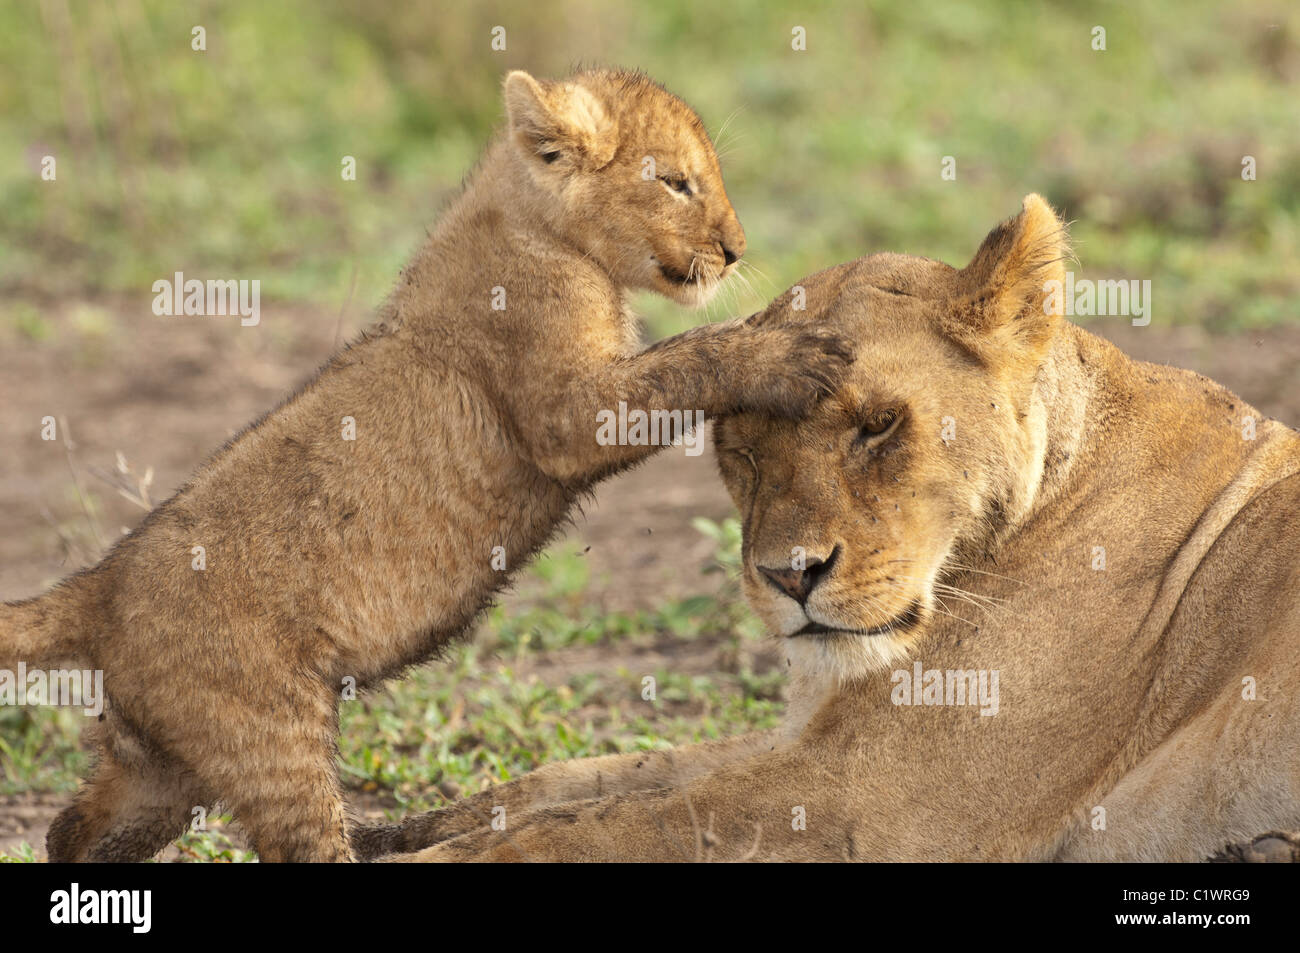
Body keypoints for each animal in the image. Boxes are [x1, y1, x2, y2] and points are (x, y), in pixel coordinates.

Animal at [0, 68, 855, 862]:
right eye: (676, 181)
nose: (736, 252)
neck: (538, 225)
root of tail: (101, 584)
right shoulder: (567, 413)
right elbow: (690, 358)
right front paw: (791, 353)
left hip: (164, 767)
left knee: (74, 826)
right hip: (266, 732)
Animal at [358, 194, 1300, 862]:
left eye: (877, 425)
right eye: (741, 448)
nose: (789, 575)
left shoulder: (878, 801)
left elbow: (619, 825)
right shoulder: (813, 740)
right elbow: (585, 780)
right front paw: (386, 832)